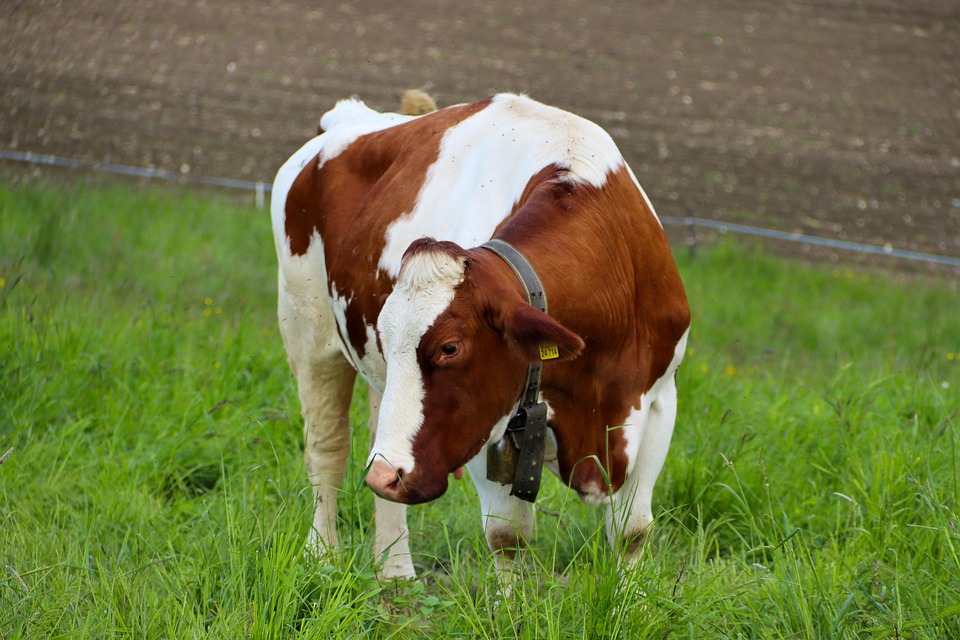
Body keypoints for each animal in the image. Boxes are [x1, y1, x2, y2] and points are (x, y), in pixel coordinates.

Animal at [271, 92, 690, 581]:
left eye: (450, 347)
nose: (388, 477)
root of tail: (350, 118)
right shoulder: (487, 423)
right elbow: (508, 538)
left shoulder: (659, 400)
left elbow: (631, 531)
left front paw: (631, 594)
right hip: (309, 336)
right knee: (327, 453)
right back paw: (321, 556)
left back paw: (395, 569)